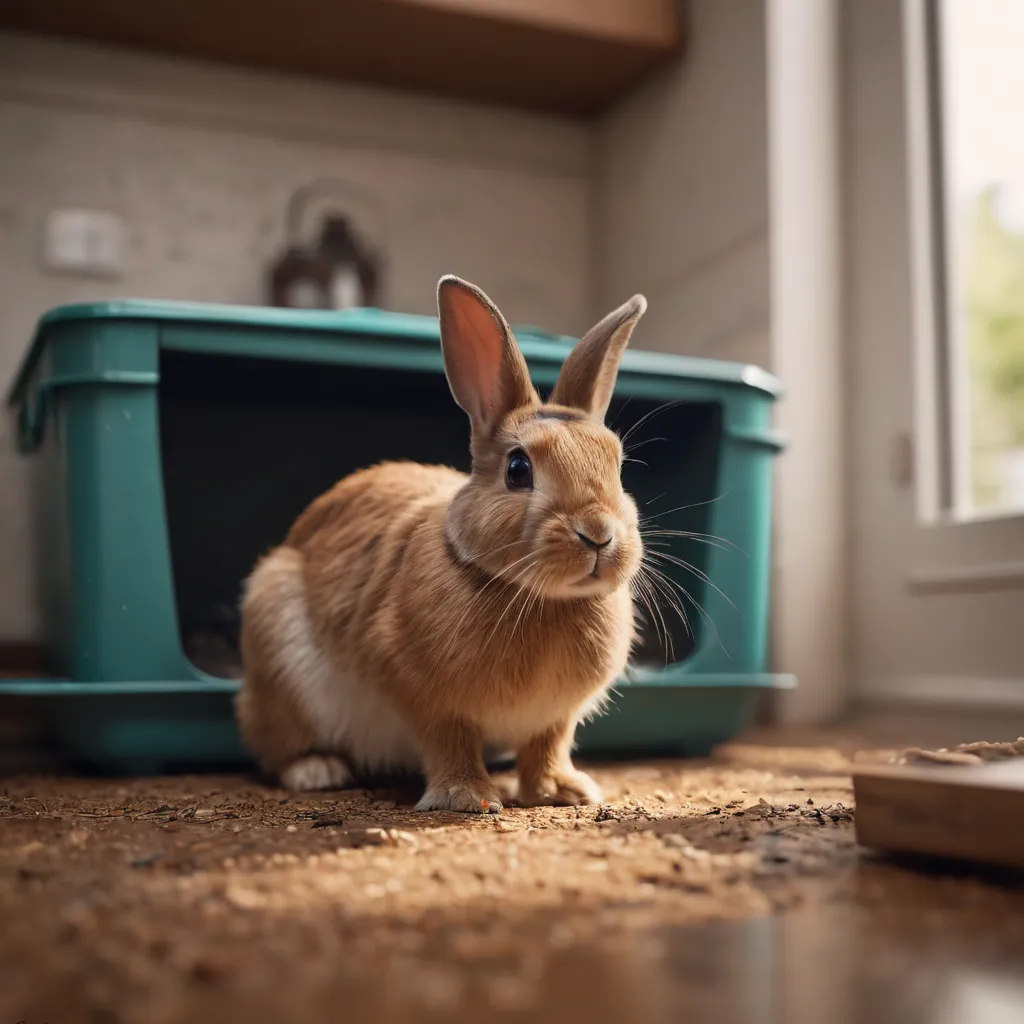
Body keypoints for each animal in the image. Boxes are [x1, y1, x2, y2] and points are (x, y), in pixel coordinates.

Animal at [236, 275, 647, 813]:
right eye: (518, 470)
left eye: (617, 465)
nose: (598, 534)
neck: (537, 595)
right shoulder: (426, 696)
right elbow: (449, 741)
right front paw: (467, 797)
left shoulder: (555, 717)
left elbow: (547, 746)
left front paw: (563, 791)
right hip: (281, 670)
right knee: (278, 747)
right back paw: (318, 772)